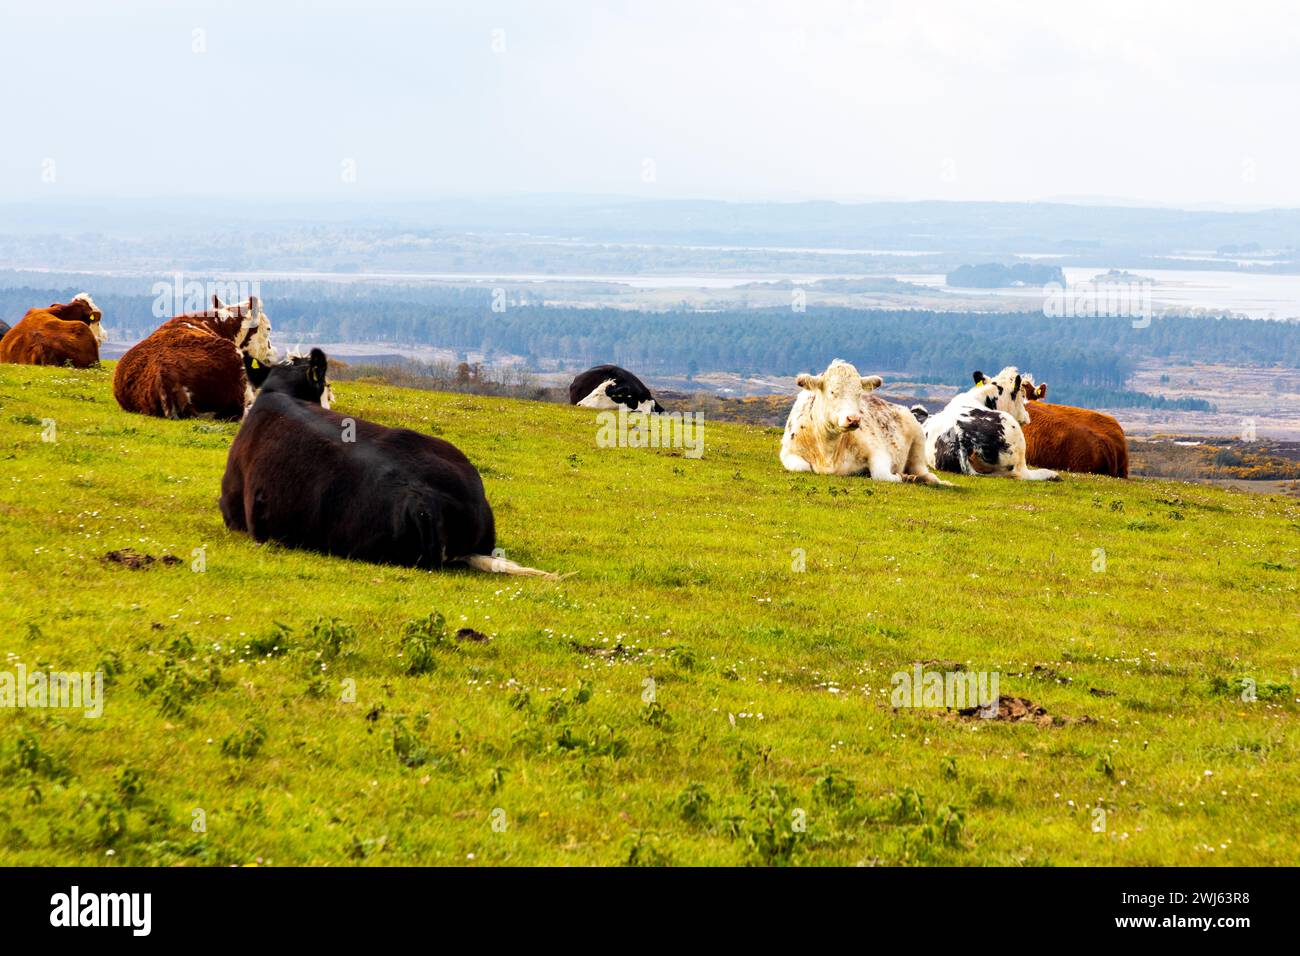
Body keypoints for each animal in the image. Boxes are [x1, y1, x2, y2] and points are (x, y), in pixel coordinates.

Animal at [780, 359, 949, 484]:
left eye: (859, 393)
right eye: (832, 392)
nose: (853, 419)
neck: (828, 450)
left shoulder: (878, 450)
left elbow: (881, 474)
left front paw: (901, 476)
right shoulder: (787, 452)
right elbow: (802, 467)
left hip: (918, 447)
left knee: (928, 475)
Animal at [910, 368, 1059, 480]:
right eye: (1022, 396)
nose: (1026, 416)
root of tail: (962, 436)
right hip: (1019, 457)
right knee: (1027, 474)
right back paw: (1052, 475)